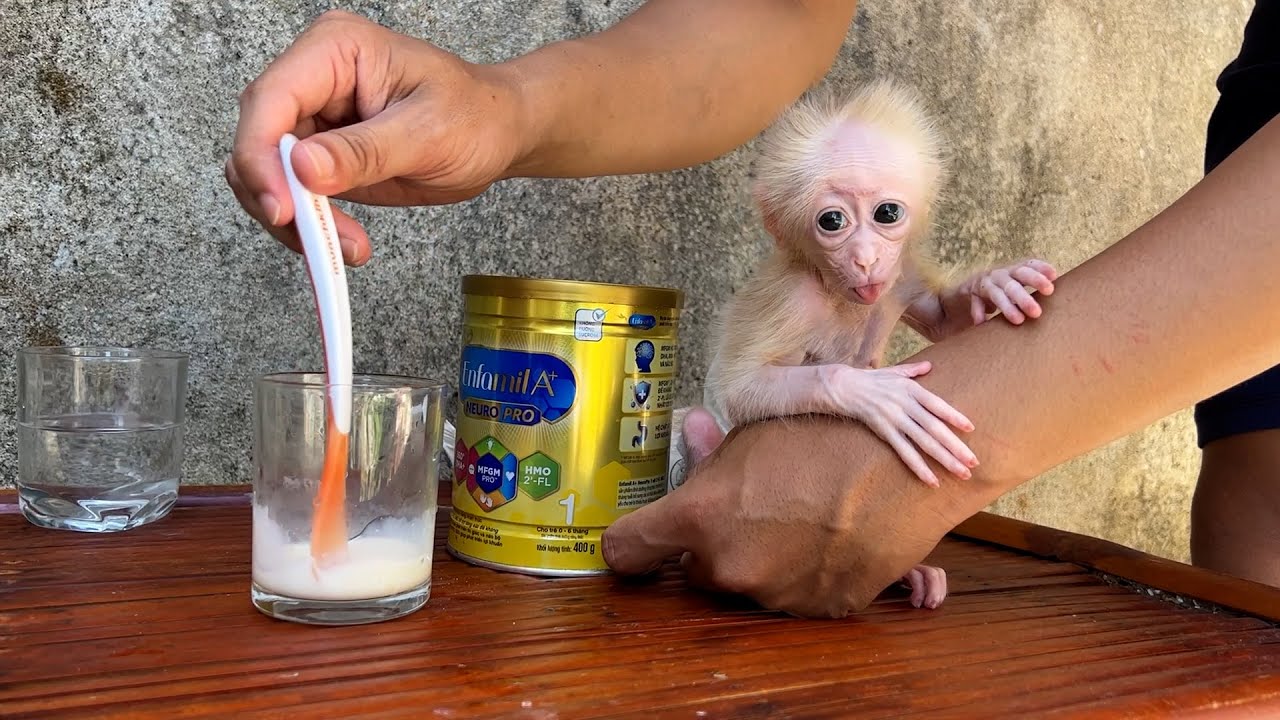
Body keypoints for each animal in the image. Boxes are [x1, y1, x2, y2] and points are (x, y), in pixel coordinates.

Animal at [665, 78, 1058, 610]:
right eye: (832, 221)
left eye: (886, 213)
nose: (867, 258)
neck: (837, 290)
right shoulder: (793, 298)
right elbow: (737, 390)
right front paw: (867, 391)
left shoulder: (901, 274)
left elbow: (943, 320)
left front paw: (993, 283)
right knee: (702, 420)